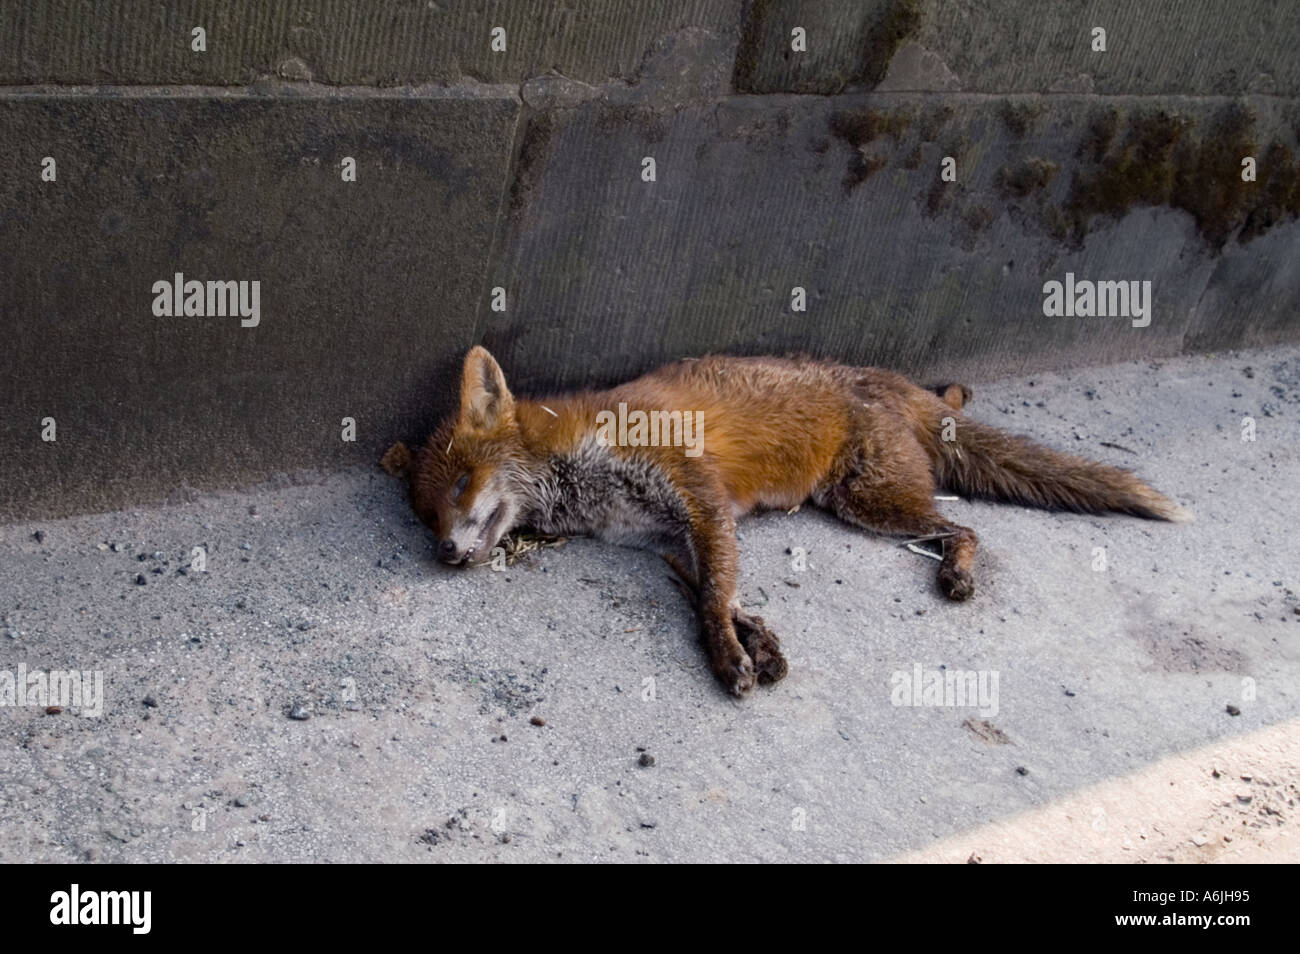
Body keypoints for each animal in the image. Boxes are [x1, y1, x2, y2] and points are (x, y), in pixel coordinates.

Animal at [389, 346, 1189, 697]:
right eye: (426, 514)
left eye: (462, 484)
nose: (446, 552)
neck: (580, 475)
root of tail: (878, 378)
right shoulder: (665, 535)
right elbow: (719, 593)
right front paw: (757, 641)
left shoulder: (698, 495)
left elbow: (714, 598)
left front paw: (728, 657)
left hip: (871, 501)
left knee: (965, 530)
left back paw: (959, 571)